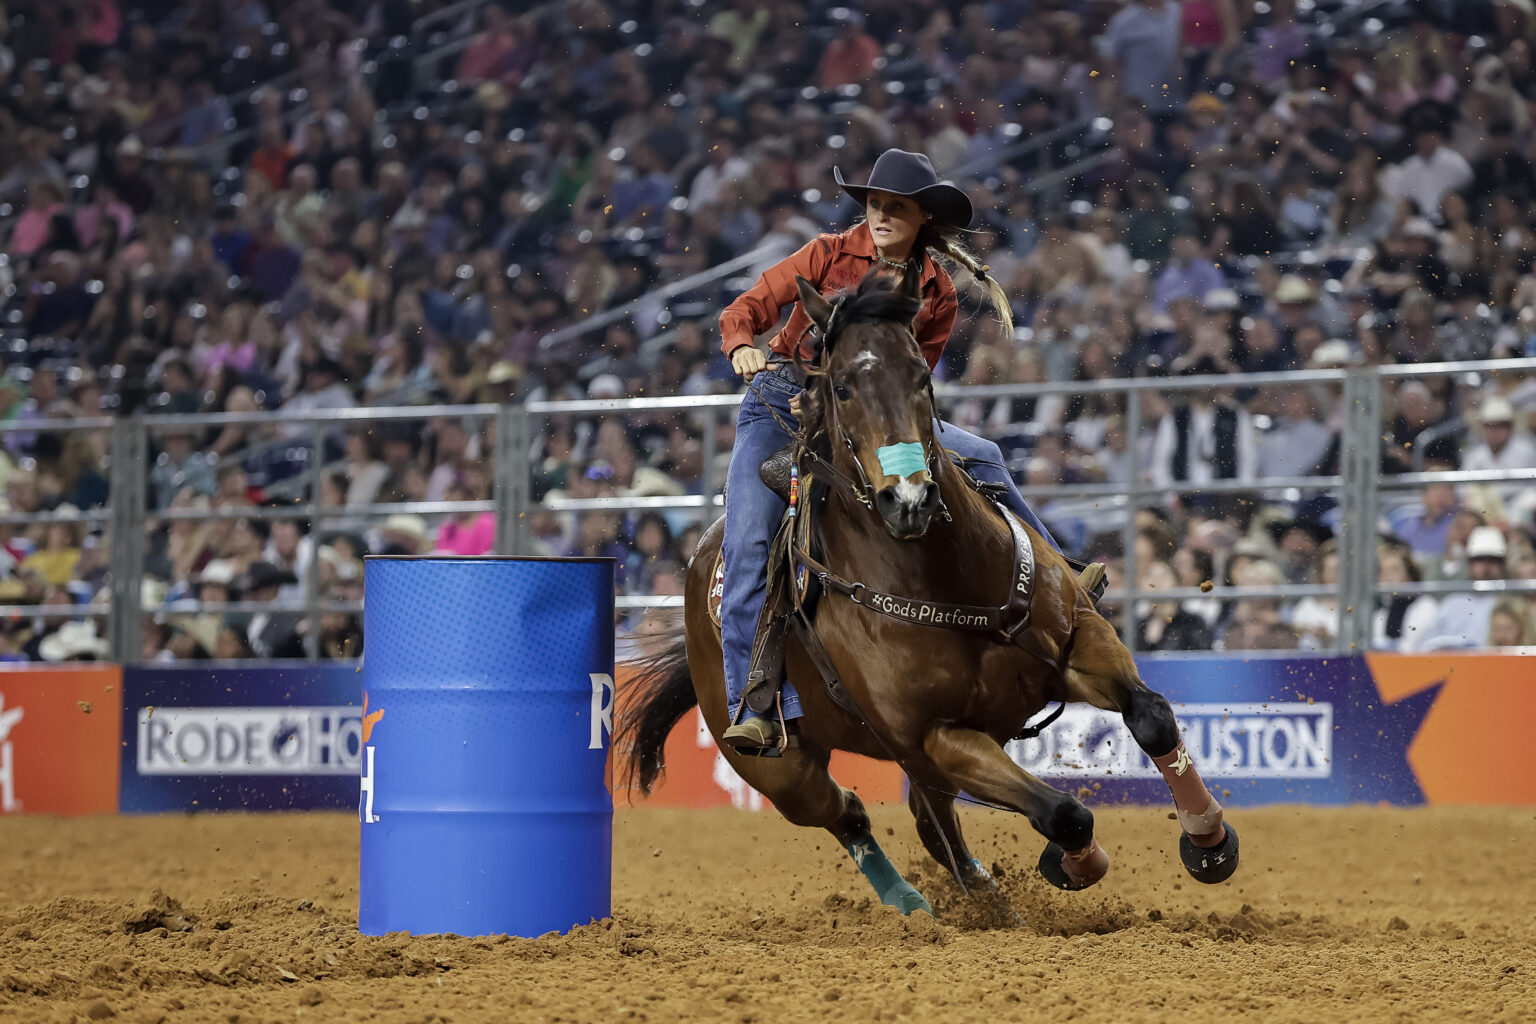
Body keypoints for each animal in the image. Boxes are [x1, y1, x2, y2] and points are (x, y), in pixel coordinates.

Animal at [621, 266, 1239, 917]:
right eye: (841, 388)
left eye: (922, 376)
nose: (909, 499)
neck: (951, 581)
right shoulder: (936, 738)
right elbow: (1064, 813)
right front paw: (1070, 864)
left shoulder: (1080, 644)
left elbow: (1151, 717)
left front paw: (1209, 844)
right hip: (783, 771)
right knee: (849, 813)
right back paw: (917, 905)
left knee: (927, 819)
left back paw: (985, 900)